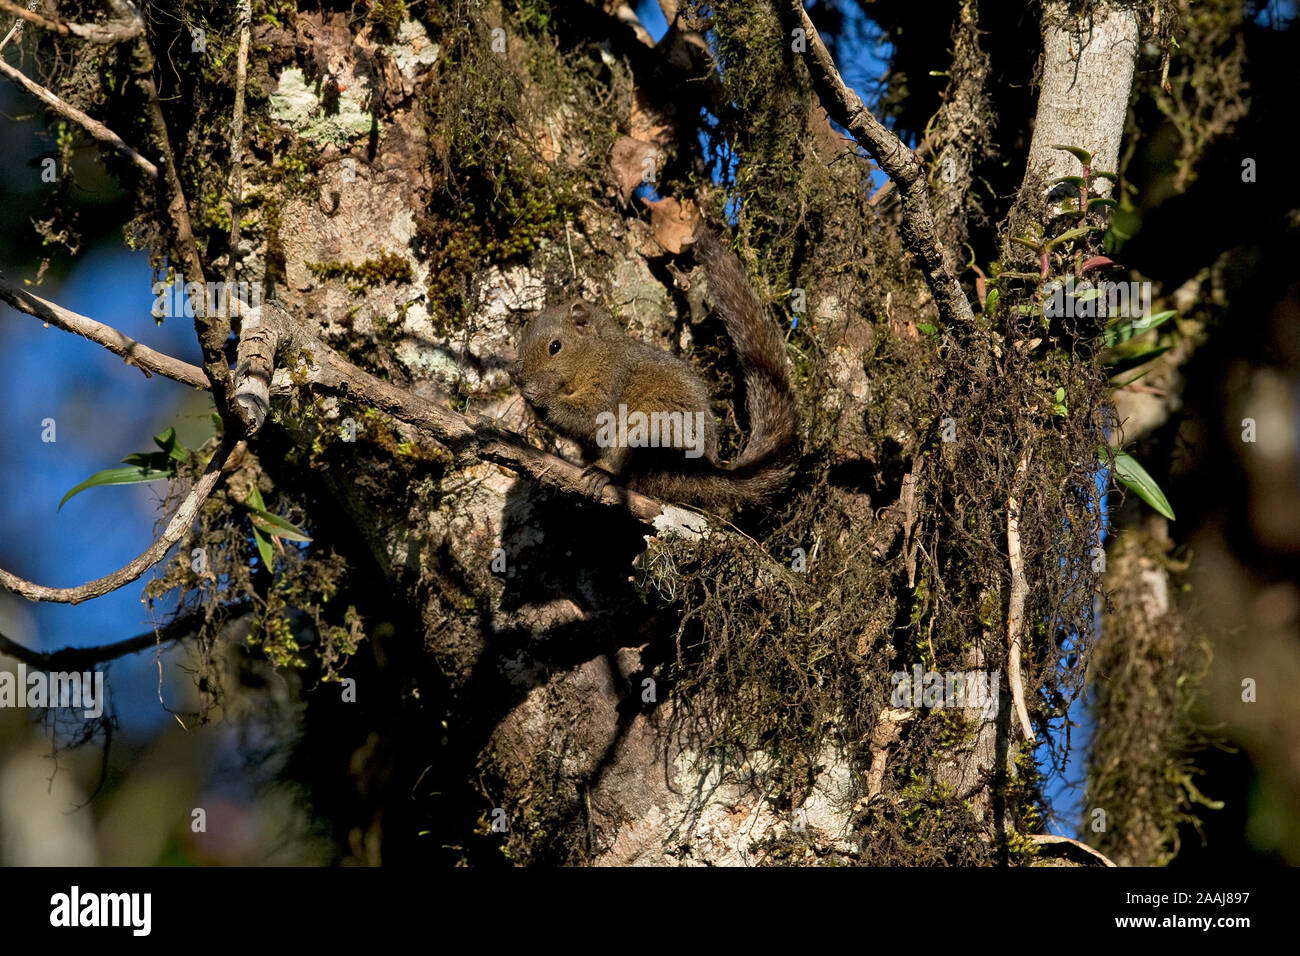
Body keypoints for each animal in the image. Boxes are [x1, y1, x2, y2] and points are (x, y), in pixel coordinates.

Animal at [510, 221, 797, 510]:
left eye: (554, 347)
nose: (520, 377)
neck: (594, 352)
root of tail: (698, 470)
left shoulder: (611, 376)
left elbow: (589, 415)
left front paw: (540, 394)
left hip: (650, 426)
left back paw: (605, 474)